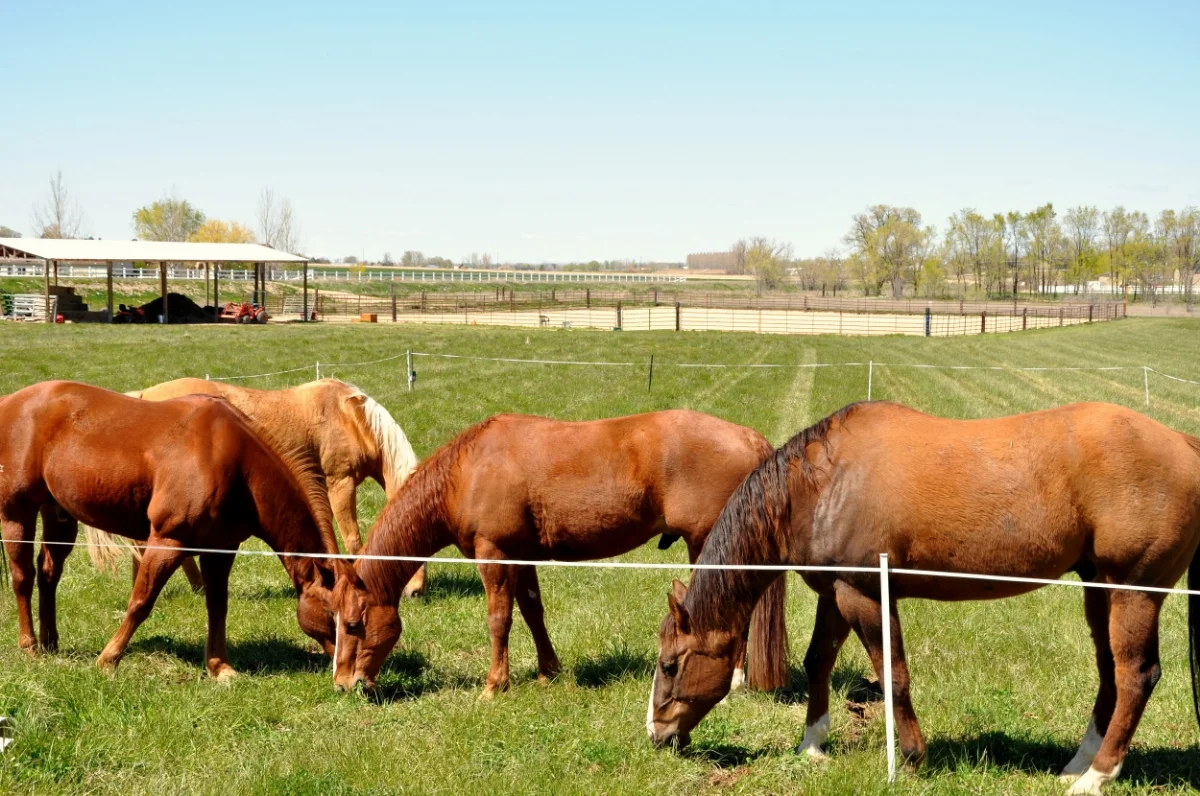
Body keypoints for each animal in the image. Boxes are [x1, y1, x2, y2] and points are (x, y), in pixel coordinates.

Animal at [0, 380, 345, 679]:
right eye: (334, 614)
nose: (349, 675)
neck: (235, 460)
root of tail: (10, 402)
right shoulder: (168, 541)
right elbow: (140, 602)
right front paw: (108, 659)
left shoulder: (220, 549)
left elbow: (217, 606)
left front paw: (219, 667)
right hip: (16, 513)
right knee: (23, 577)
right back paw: (30, 645)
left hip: (57, 514)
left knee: (49, 572)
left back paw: (50, 641)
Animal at [331, 410, 790, 697]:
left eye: (353, 624)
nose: (343, 684)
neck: (468, 472)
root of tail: (749, 438)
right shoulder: (520, 557)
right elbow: (533, 612)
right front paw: (547, 672)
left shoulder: (494, 554)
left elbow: (499, 620)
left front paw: (494, 685)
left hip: (709, 544)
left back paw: (731, 682)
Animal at [647, 400, 1200, 796]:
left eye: (671, 665)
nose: (657, 734)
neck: (823, 483)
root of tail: (1182, 442)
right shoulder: (837, 594)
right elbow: (819, 661)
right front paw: (812, 745)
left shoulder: (868, 595)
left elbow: (893, 674)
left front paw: (911, 758)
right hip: (1098, 588)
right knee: (1110, 672)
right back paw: (1077, 763)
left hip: (1133, 592)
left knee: (1136, 675)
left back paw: (1097, 777)